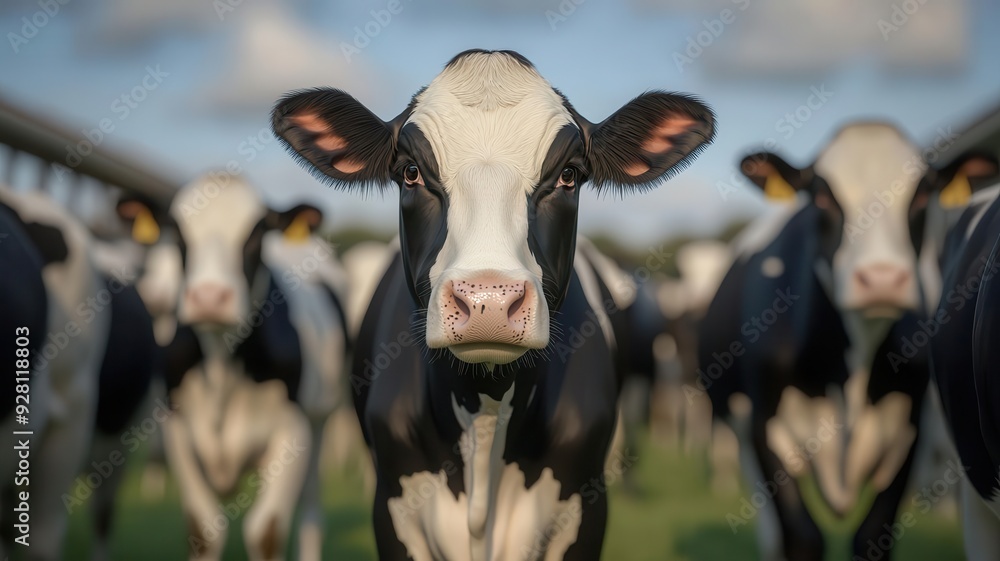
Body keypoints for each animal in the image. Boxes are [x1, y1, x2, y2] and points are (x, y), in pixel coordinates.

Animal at [133, 174, 349, 561]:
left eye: (258, 232)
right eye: (177, 231)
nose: (209, 297)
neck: (222, 367)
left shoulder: (293, 432)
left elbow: (266, 532)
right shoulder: (176, 429)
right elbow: (202, 531)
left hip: (321, 420)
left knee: (311, 511)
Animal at [697, 122, 994, 560]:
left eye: (924, 193)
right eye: (821, 195)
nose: (882, 278)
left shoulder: (911, 429)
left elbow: (872, 535)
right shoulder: (762, 421)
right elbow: (801, 537)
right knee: (771, 531)